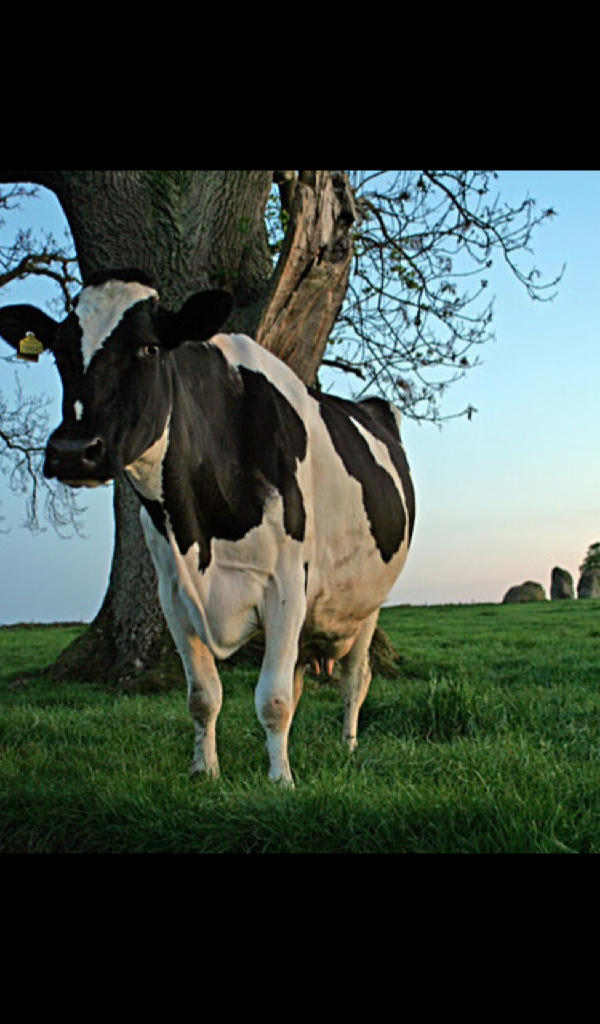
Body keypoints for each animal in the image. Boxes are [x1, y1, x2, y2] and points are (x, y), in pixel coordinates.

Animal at [0, 269, 416, 786]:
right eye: (58, 352)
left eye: (150, 348)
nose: (75, 451)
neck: (199, 529)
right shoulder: (175, 595)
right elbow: (203, 696)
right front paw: (206, 770)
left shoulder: (285, 585)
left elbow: (273, 699)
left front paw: (281, 782)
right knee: (300, 676)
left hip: (367, 602)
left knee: (354, 679)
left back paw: (348, 746)